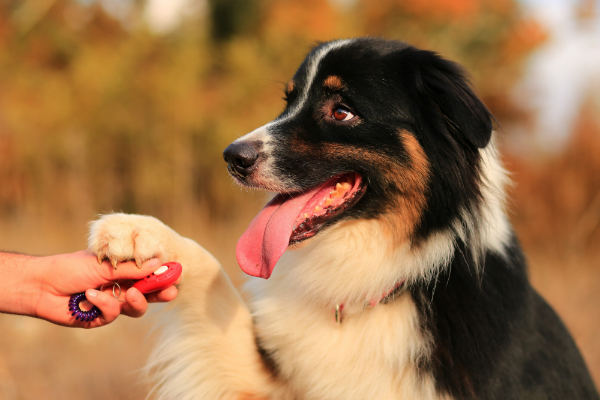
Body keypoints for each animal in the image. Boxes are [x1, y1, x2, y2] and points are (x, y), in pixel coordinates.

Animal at [89, 37, 600, 400]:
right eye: (288, 101)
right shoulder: (271, 381)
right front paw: (134, 230)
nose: (232, 157)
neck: (374, 282)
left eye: (342, 110)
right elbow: (214, 279)